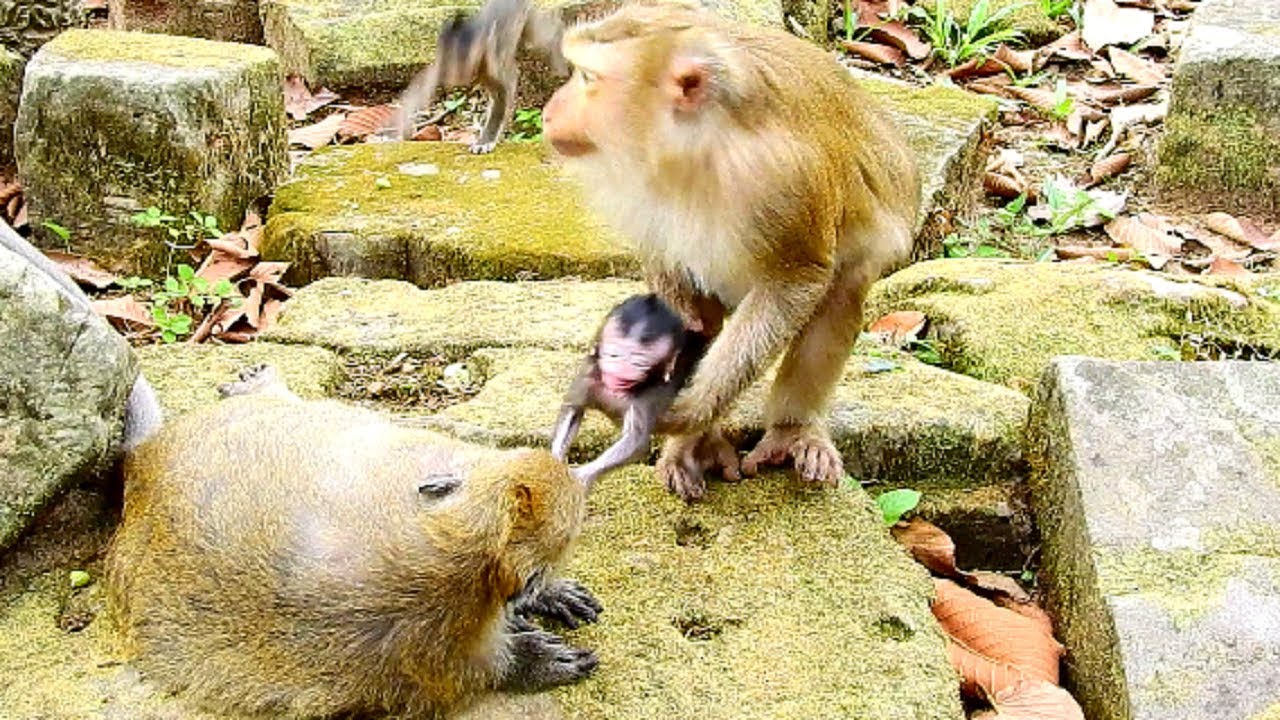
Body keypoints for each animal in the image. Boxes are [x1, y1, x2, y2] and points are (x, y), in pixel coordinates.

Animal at [105, 362, 601, 719]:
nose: (559, 467)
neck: (459, 551)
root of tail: (140, 456)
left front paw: (554, 603)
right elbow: (476, 667)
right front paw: (547, 654)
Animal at [393, 0, 567, 153]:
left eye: (467, 58)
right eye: (449, 60)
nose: (456, 75)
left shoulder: (492, 62)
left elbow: (505, 89)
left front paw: (485, 141)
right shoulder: (439, 68)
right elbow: (419, 88)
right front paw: (402, 130)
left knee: (542, 39)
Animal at [550, 293, 737, 494]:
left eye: (639, 364)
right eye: (614, 355)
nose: (621, 371)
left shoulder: (647, 396)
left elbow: (636, 442)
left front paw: (580, 478)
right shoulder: (588, 375)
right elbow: (573, 409)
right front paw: (555, 459)